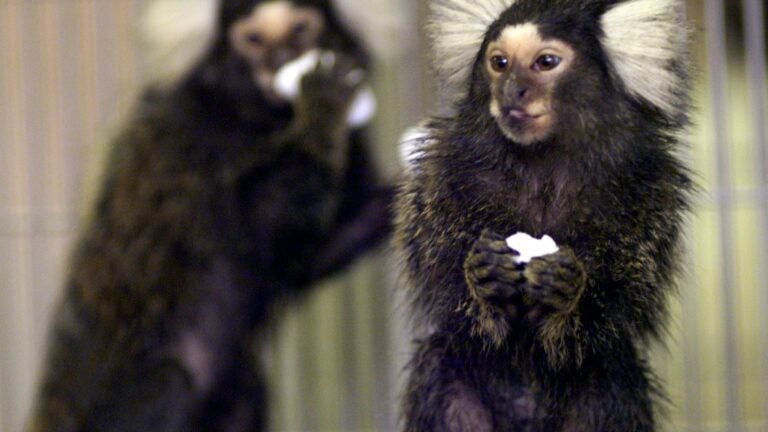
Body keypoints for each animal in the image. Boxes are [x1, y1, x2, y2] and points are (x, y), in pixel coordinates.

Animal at [28, 0, 392, 431]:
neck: (263, 118)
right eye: (254, 39)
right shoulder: (184, 137)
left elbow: (303, 258)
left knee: (246, 394)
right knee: (167, 383)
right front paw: (321, 107)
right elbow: (261, 215)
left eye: (301, 28)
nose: (282, 59)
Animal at [395, 0, 693, 430]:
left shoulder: (651, 190)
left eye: (545, 62)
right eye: (499, 63)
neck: (544, 164)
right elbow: (447, 296)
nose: (511, 91)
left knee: (610, 376)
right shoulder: (441, 174)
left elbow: (624, 302)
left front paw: (566, 291)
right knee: (441, 366)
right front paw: (483, 277)